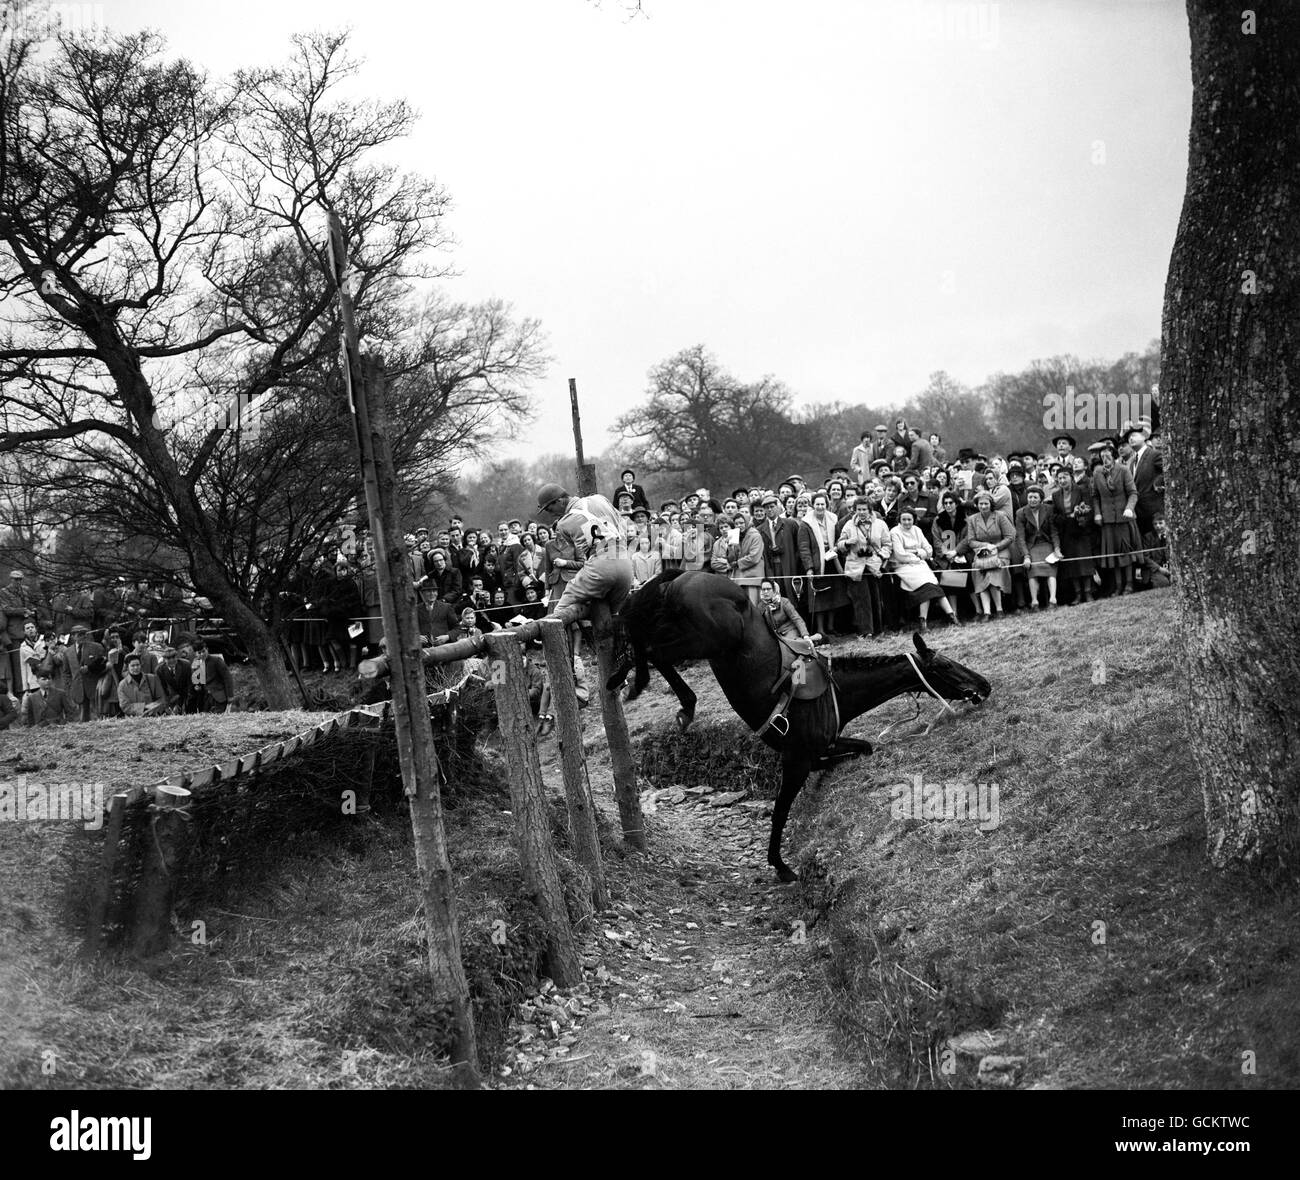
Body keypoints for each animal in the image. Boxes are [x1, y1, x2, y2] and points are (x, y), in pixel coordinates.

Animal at [610, 570, 991, 882]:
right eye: (945, 665)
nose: (984, 685)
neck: (837, 691)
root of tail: (687, 574)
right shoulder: (795, 759)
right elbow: (780, 812)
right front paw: (780, 865)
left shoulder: (821, 746)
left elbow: (862, 747)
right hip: (701, 640)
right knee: (653, 651)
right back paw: (660, 693)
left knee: (637, 632)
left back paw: (625, 675)